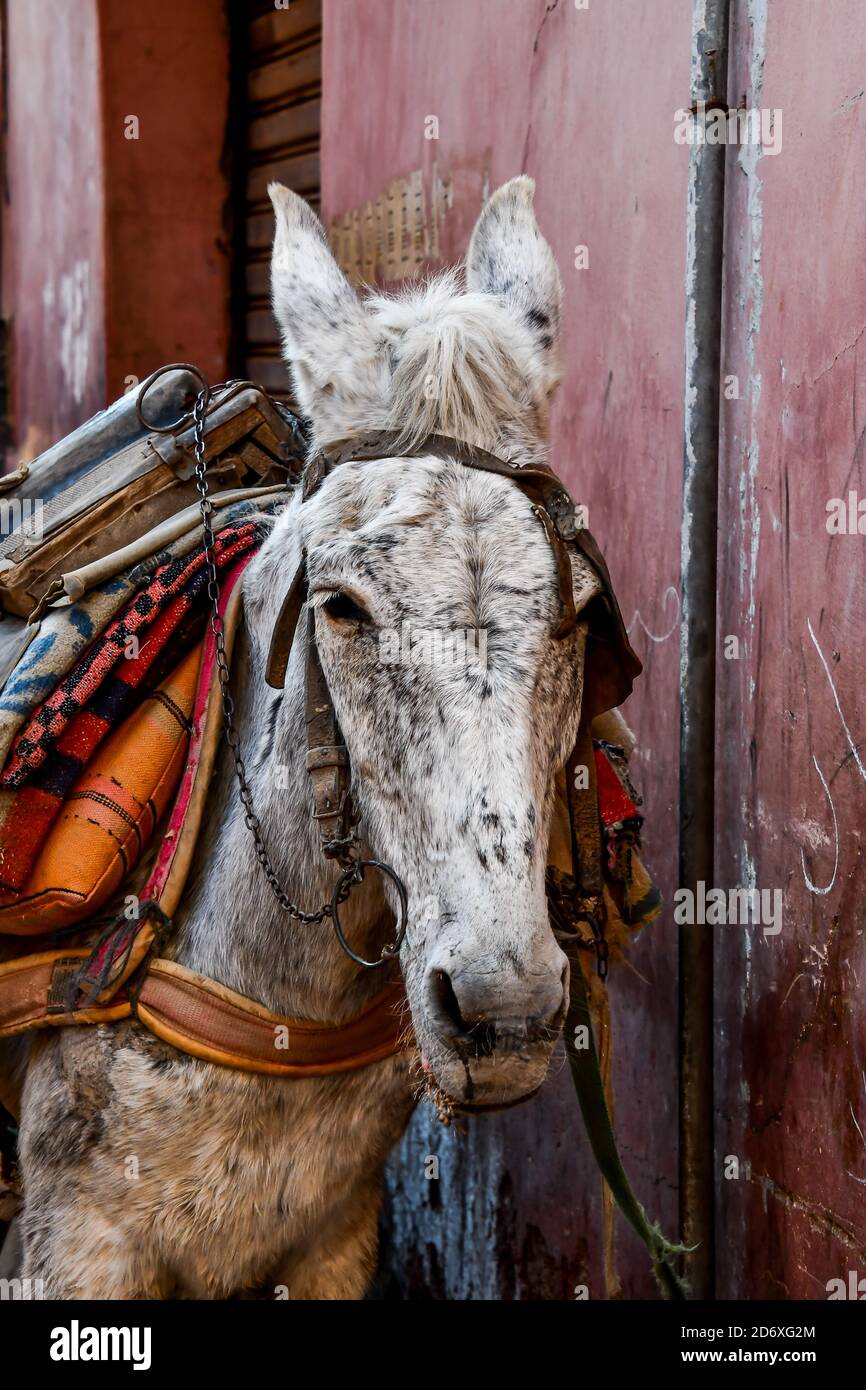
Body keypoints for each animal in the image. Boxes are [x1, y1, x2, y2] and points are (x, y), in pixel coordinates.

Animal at [0, 177, 604, 1298]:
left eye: (580, 607)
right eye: (340, 606)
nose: (502, 1010)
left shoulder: (335, 1231)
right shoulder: (74, 1246)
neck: (281, 1001)